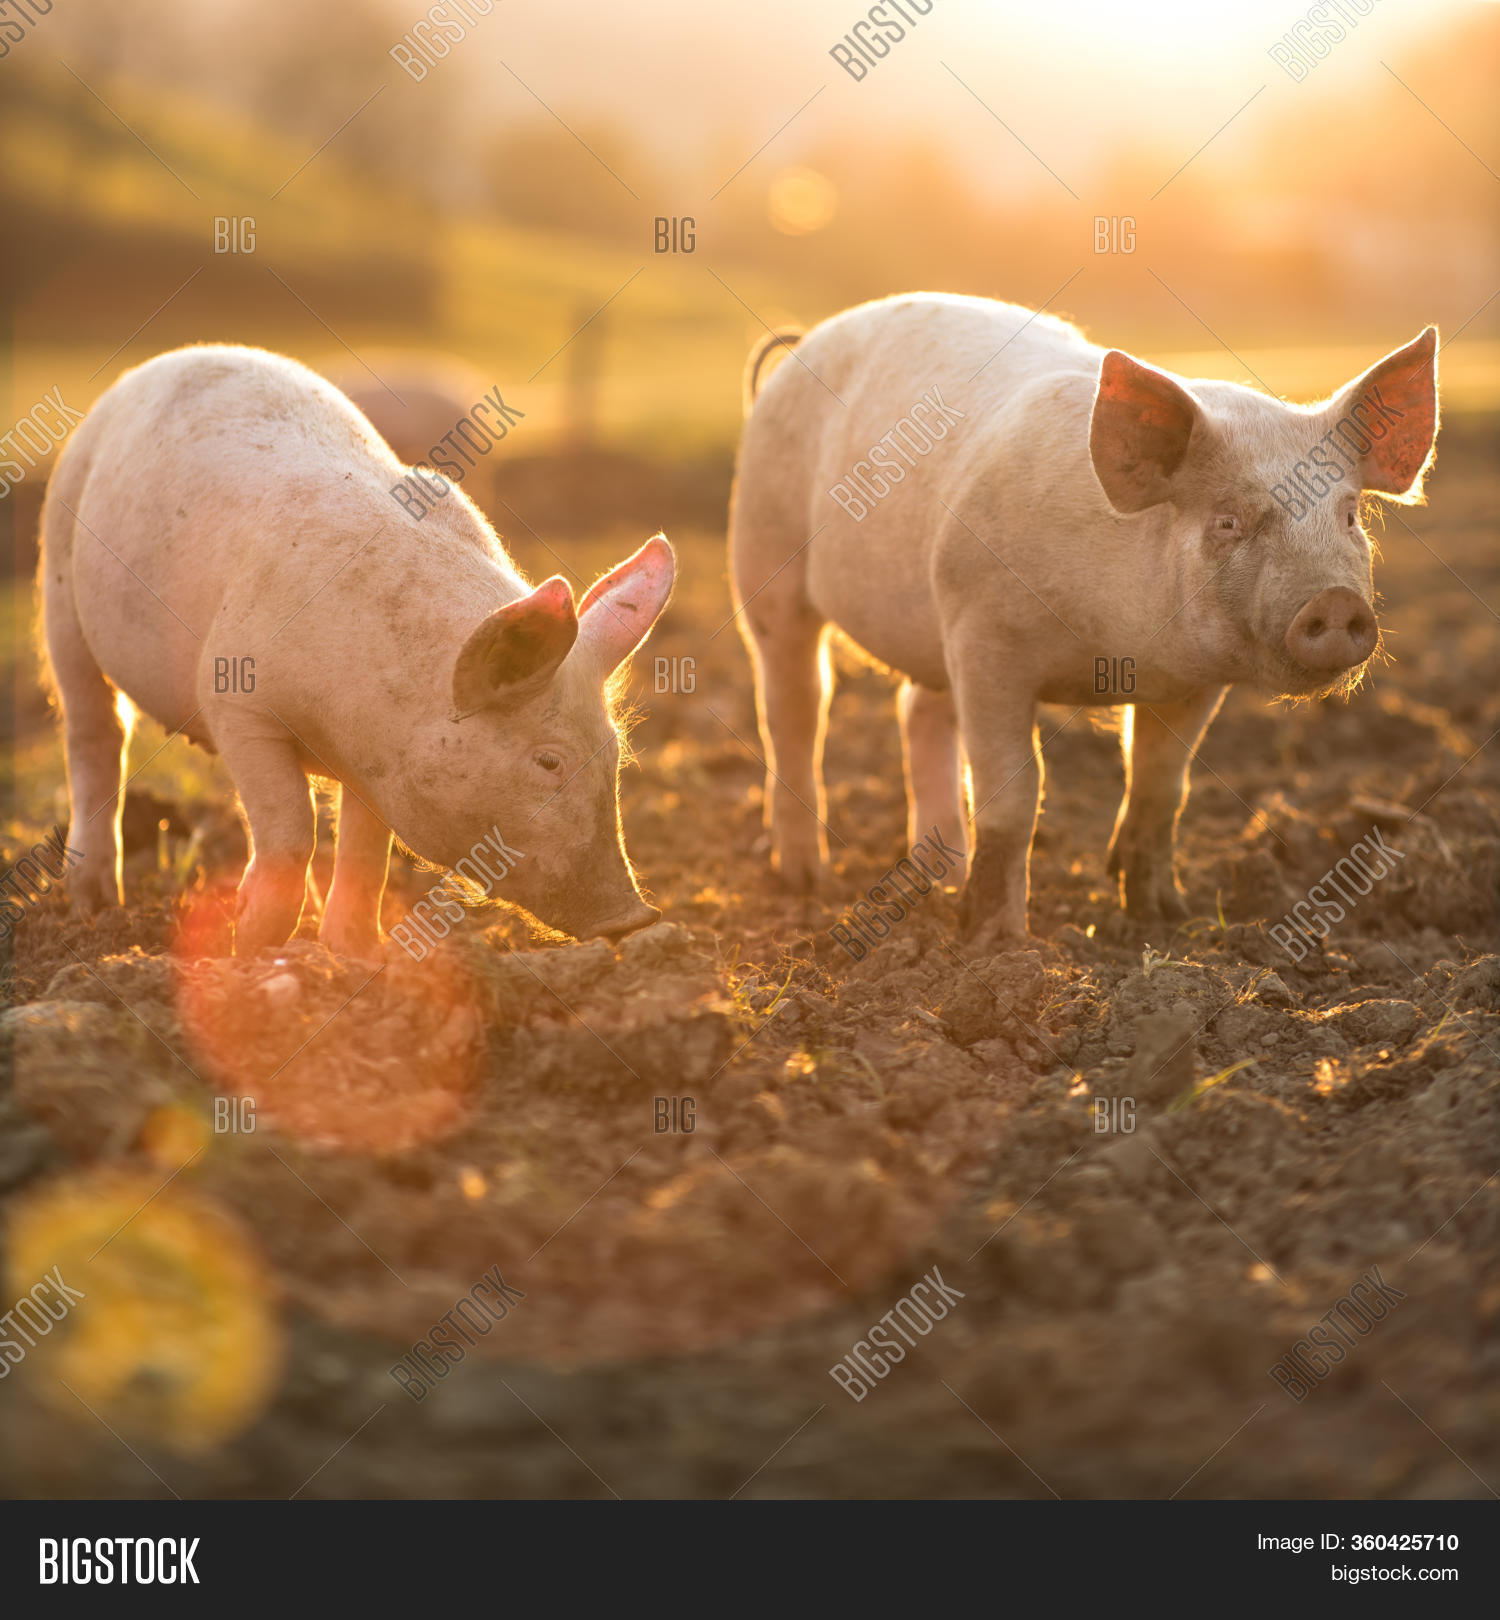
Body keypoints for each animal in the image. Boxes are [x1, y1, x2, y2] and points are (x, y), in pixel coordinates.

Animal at [41, 344, 674, 957]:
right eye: (548, 761)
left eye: (614, 754)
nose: (636, 917)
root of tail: (174, 357)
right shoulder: (236, 701)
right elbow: (291, 830)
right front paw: (253, 949)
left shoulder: (378, 768)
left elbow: (366, 854)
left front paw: (355, 956)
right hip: (60, 578)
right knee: (96, 733)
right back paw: (95, 904)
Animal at [729, 294, 1439, 944]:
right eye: (1228, 521)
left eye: (1349, 515)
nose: (1335, 603)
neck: (1118, 652)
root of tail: (800, 347)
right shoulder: (986, 640)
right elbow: (1015, 796)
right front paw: (995, 944)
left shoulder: (1192, 684)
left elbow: (1160, 789)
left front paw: (1161, 917)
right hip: (765, 561)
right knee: (796, 708)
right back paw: (805, 878)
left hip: (932, 623)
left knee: (917, 711)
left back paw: (941, 878)